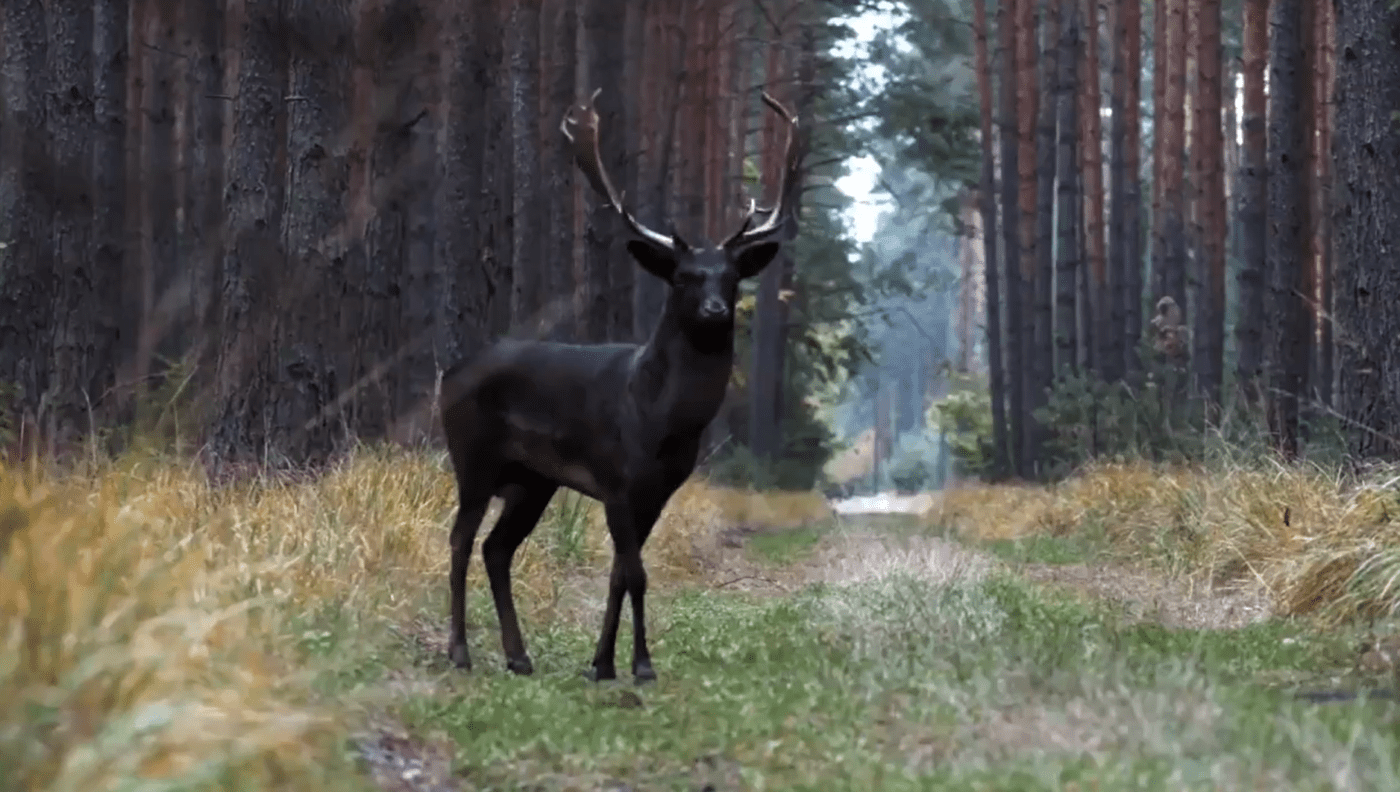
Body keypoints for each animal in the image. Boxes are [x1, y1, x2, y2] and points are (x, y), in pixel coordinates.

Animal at [436, 87, 806, 684]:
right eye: (683, 276)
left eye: (732, 277)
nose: (715, 310)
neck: (656, 418)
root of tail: (449, 373)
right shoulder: (614, 479)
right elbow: (636, 573)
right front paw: (641, 665)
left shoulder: (657, 490)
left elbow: (621, 573)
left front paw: (603, 663)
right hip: (472, 455)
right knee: (460, 540)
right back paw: (461, 652)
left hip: (533, 480)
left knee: (496, 548)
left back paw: (519, 656)